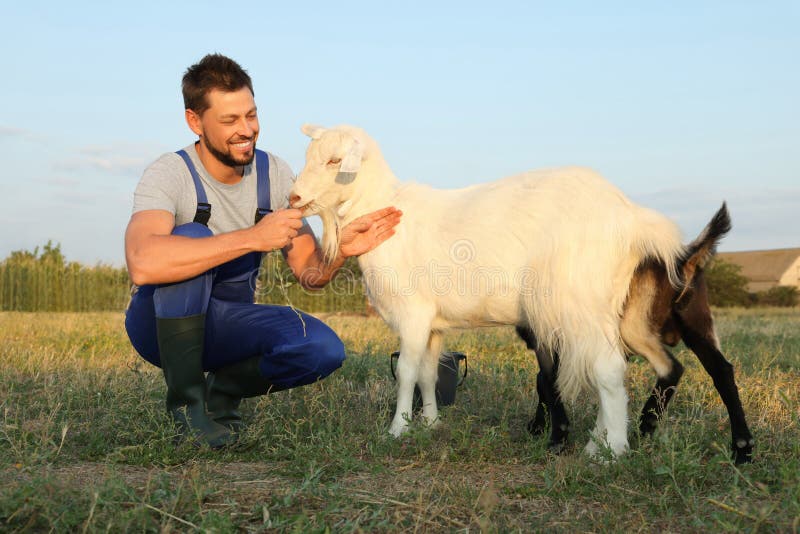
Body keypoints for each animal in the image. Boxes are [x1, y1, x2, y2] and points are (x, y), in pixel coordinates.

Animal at [289, 124, 752, 461]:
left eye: (335, 160)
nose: (294, 198)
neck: (385, 212)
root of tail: (630, 216)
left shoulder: (413, 314)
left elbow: (404, 371)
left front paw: (397, 429)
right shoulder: (434, 324)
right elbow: (427, 373)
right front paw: (431, 423)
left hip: (585, 306)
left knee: (611, 370)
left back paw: (612, 451)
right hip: (623, 317)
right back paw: (606, 440)